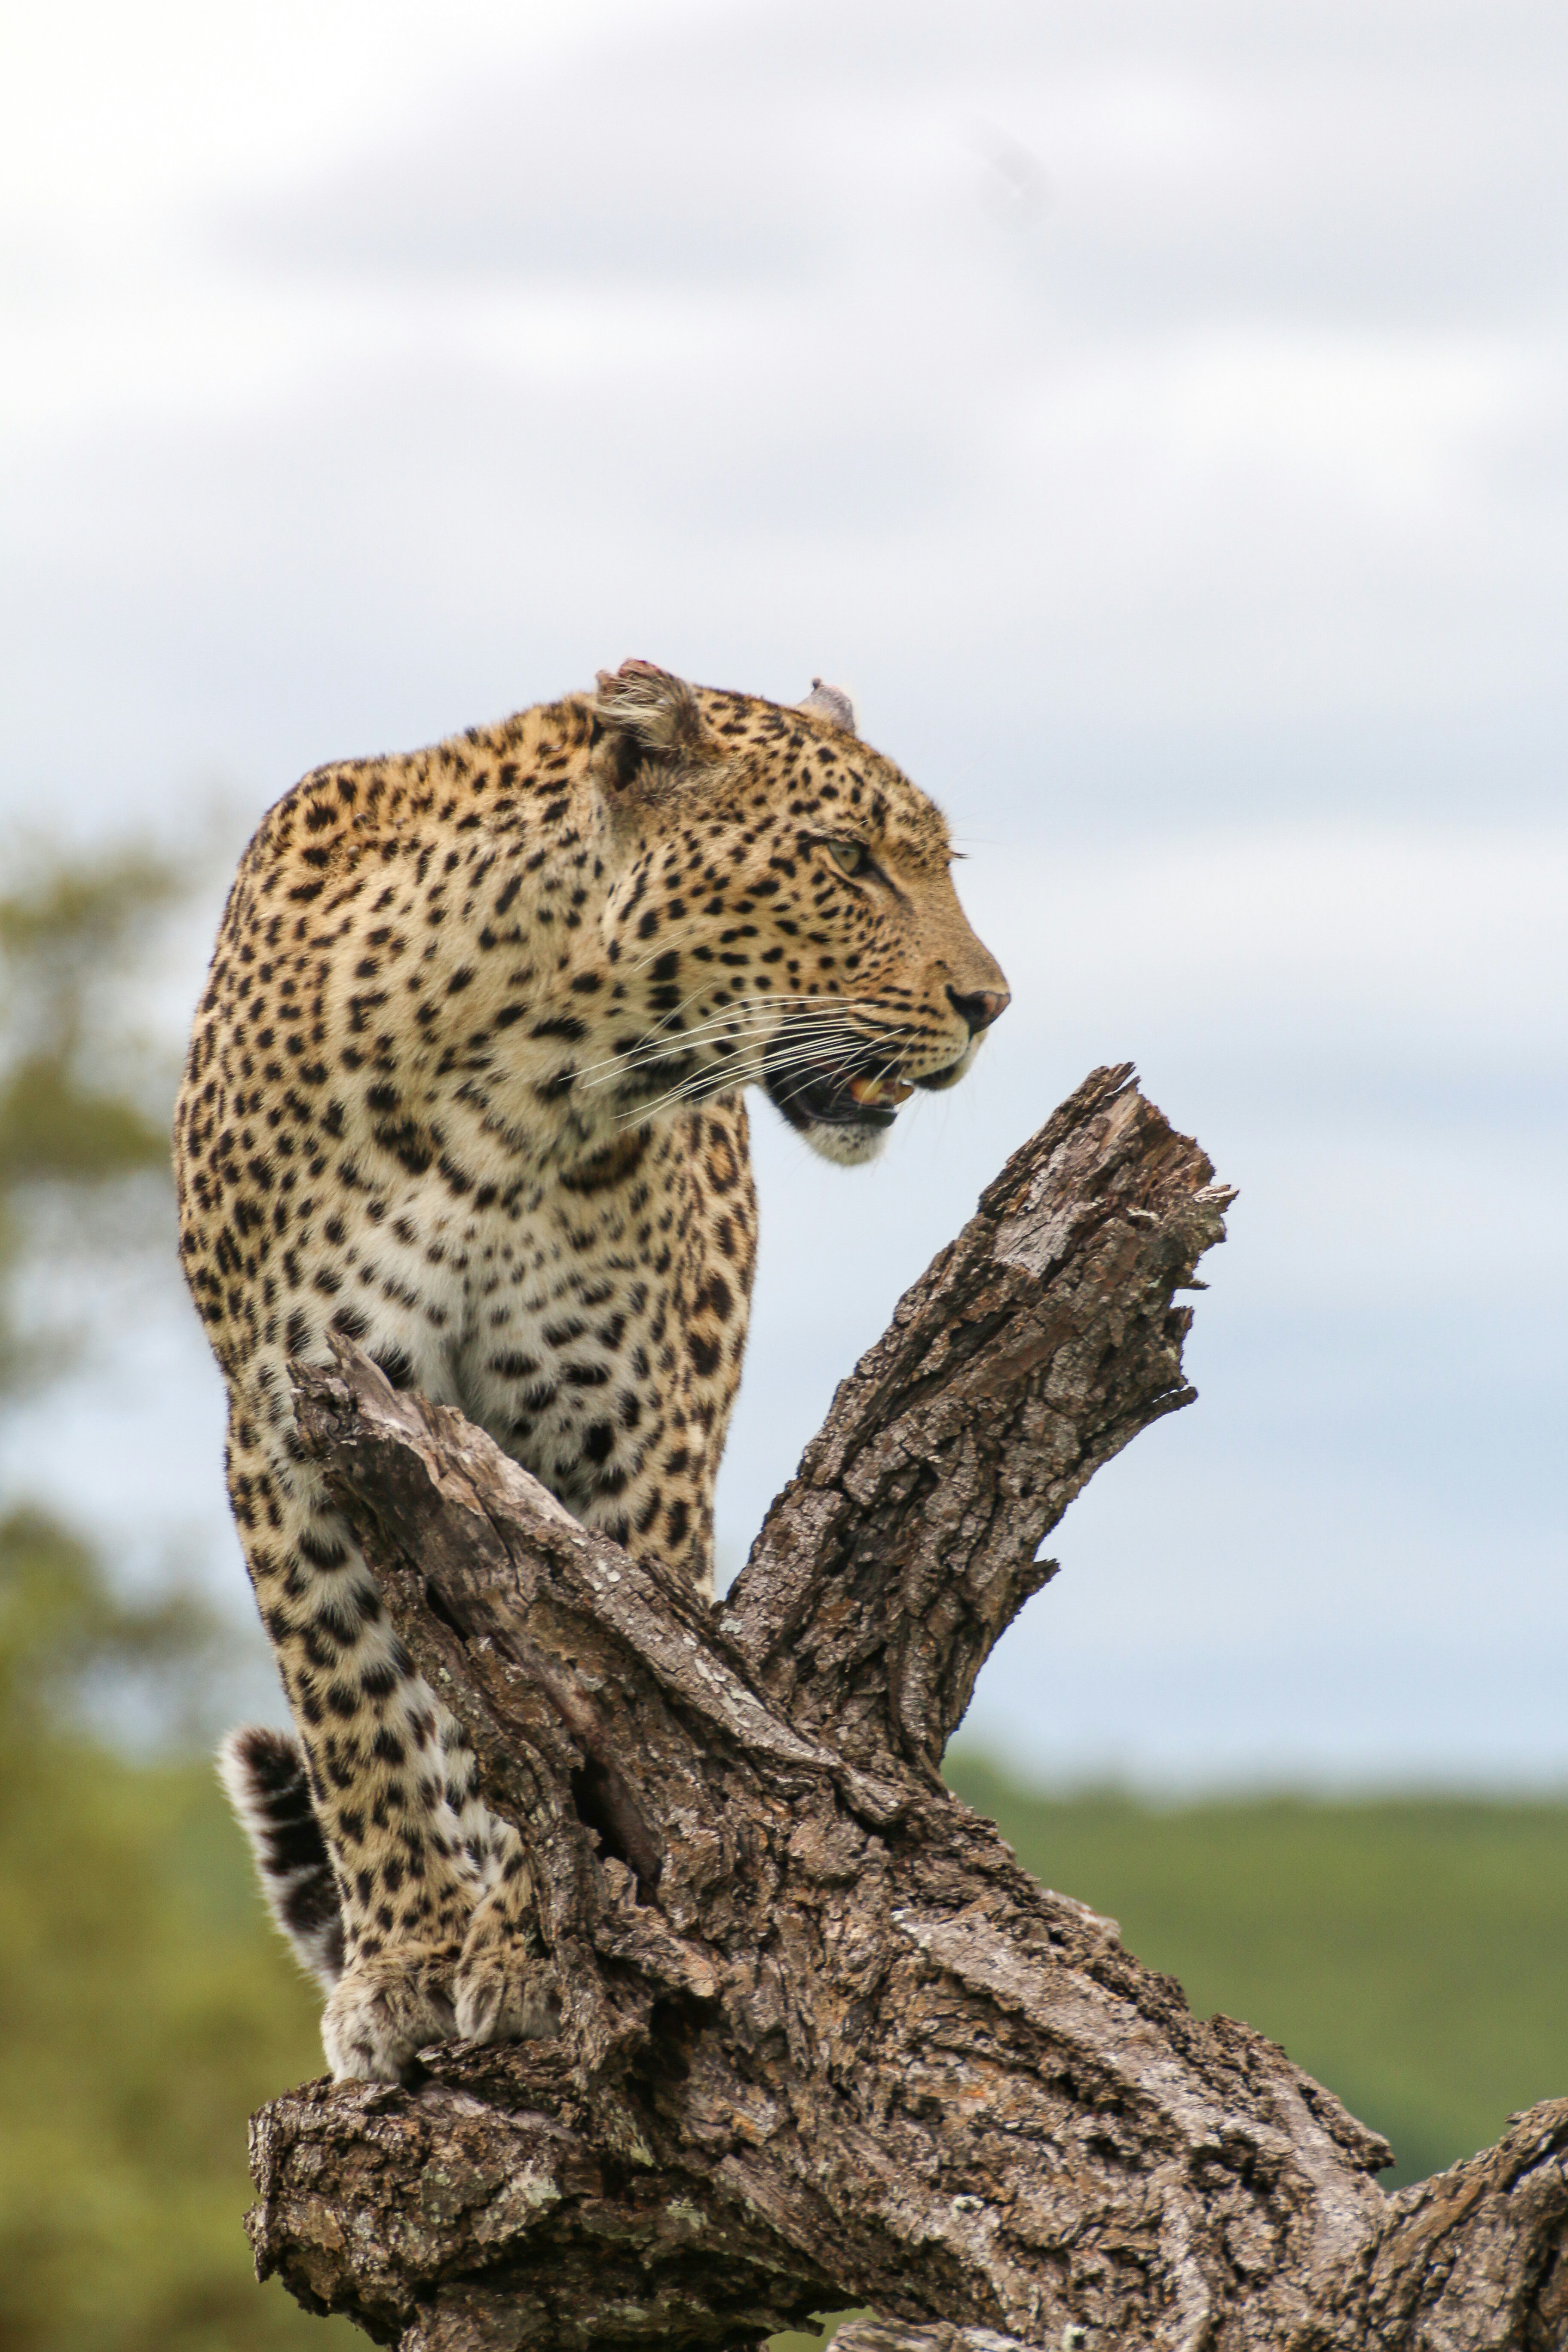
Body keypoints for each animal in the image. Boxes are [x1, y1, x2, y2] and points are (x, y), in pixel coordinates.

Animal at [174, 660, 1008, 2084]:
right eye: (846, 860)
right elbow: (354, 1709)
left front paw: (528, 1951)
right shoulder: (287, 1418)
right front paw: (401, 1963)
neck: (507, 1075)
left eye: (933, 864)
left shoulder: (618, 1430)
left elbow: (573, 1710)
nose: (989, 1006)